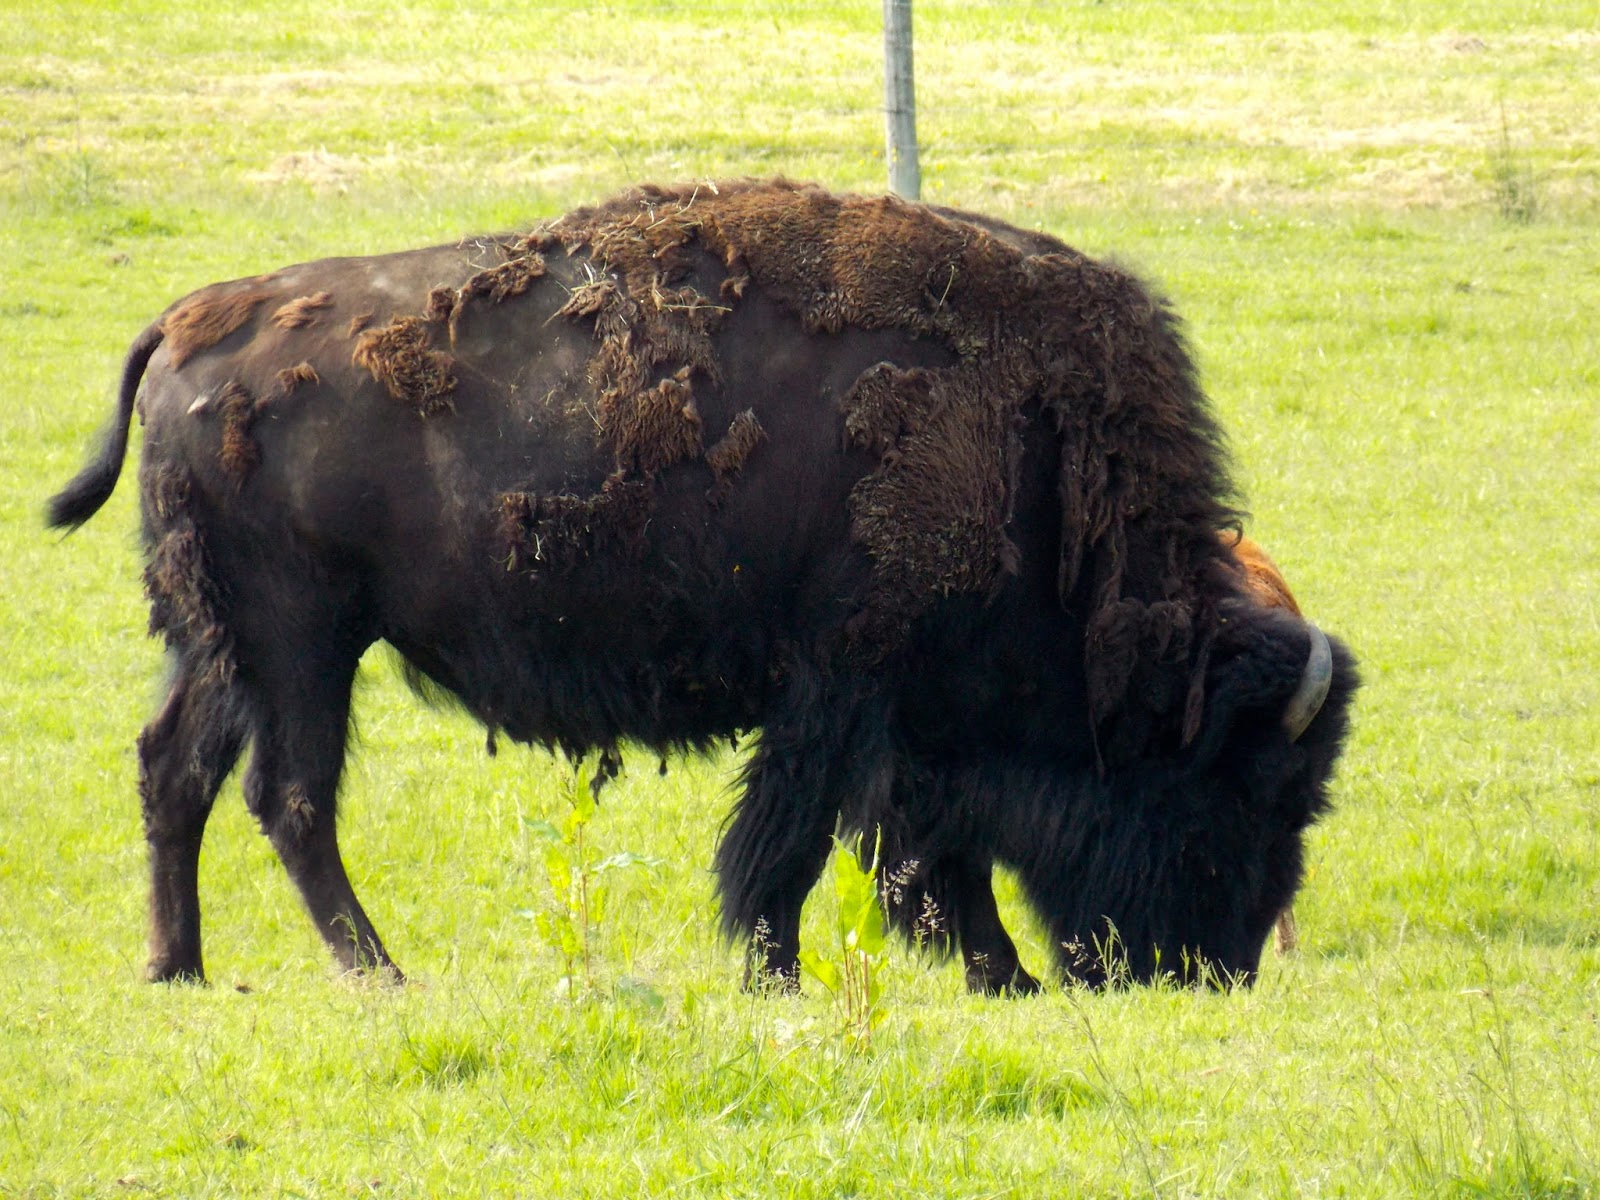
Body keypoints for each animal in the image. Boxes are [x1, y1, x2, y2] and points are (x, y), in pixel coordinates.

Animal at [48, 178, 1356, 989]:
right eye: (1248, 787)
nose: (1218, 967)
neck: (1036, 456)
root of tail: (186, 320)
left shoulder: (903, 717)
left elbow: (926, 854)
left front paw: (1002, 979)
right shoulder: (844, 687)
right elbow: (802, 844)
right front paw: (777, 976)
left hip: (222, 643)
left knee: (177, 769)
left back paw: (180, 966)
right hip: (302, 643)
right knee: (288, 796)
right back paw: (378, 972)